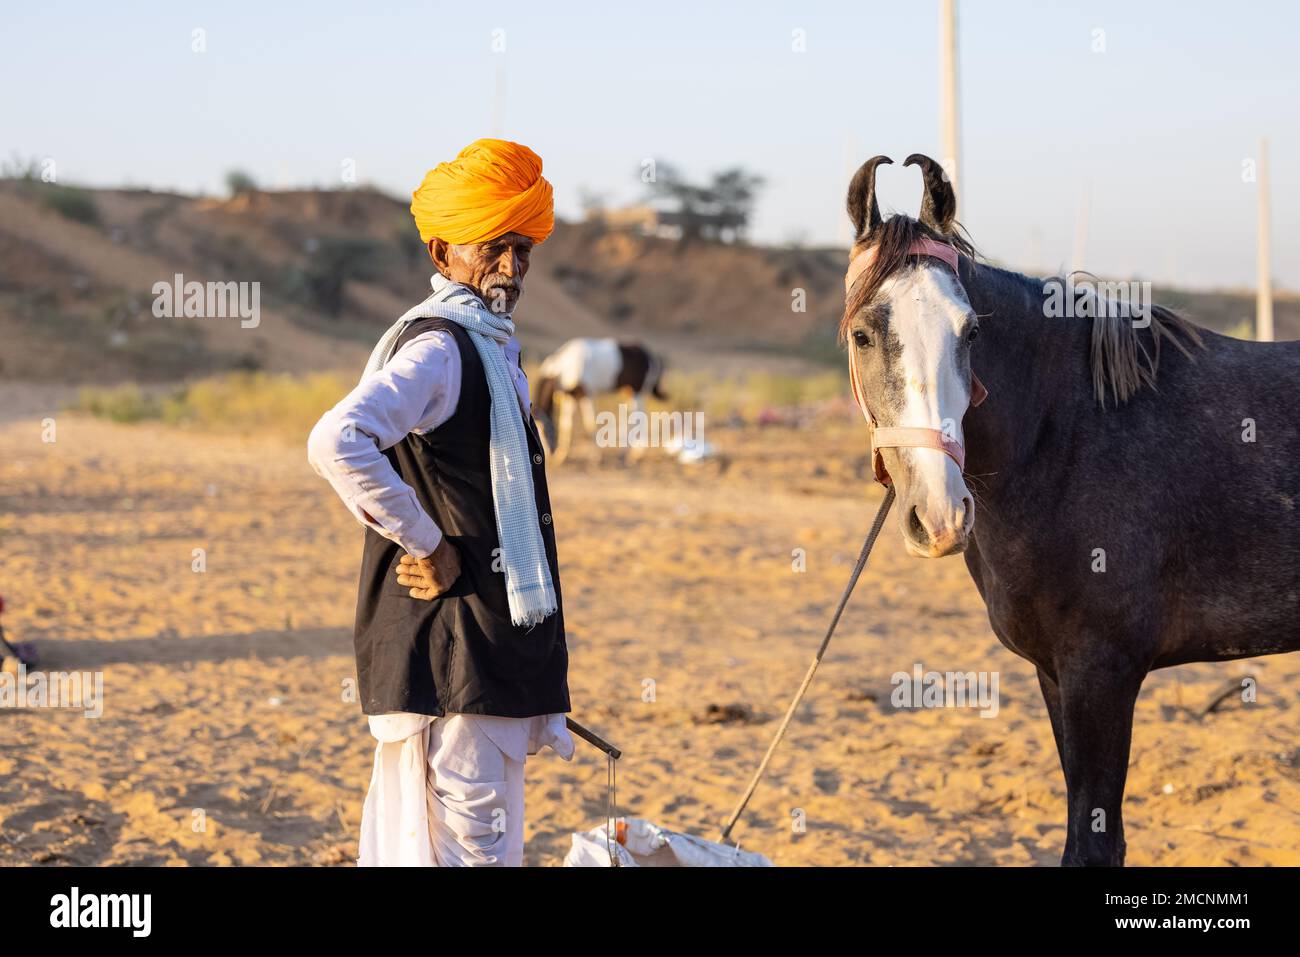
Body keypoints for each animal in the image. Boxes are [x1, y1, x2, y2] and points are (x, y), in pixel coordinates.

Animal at [533, 338, 668, 464]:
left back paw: (632, 454)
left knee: (638, 417)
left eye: (545, 430)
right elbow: (566, 424)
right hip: (628, 391)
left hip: (637, 392)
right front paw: (562, 456)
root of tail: (648, 354)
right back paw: (631, 453)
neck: (567, 364)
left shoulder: (587, 394)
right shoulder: (570, 396)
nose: (546, 455)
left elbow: (590, 424)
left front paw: (596, 457)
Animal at [841, 152, 1300, 865]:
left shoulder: (1101, 673)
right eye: (864, 334)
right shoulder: (1055, 675)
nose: (942, 516)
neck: (1066, 434)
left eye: (971, 332)